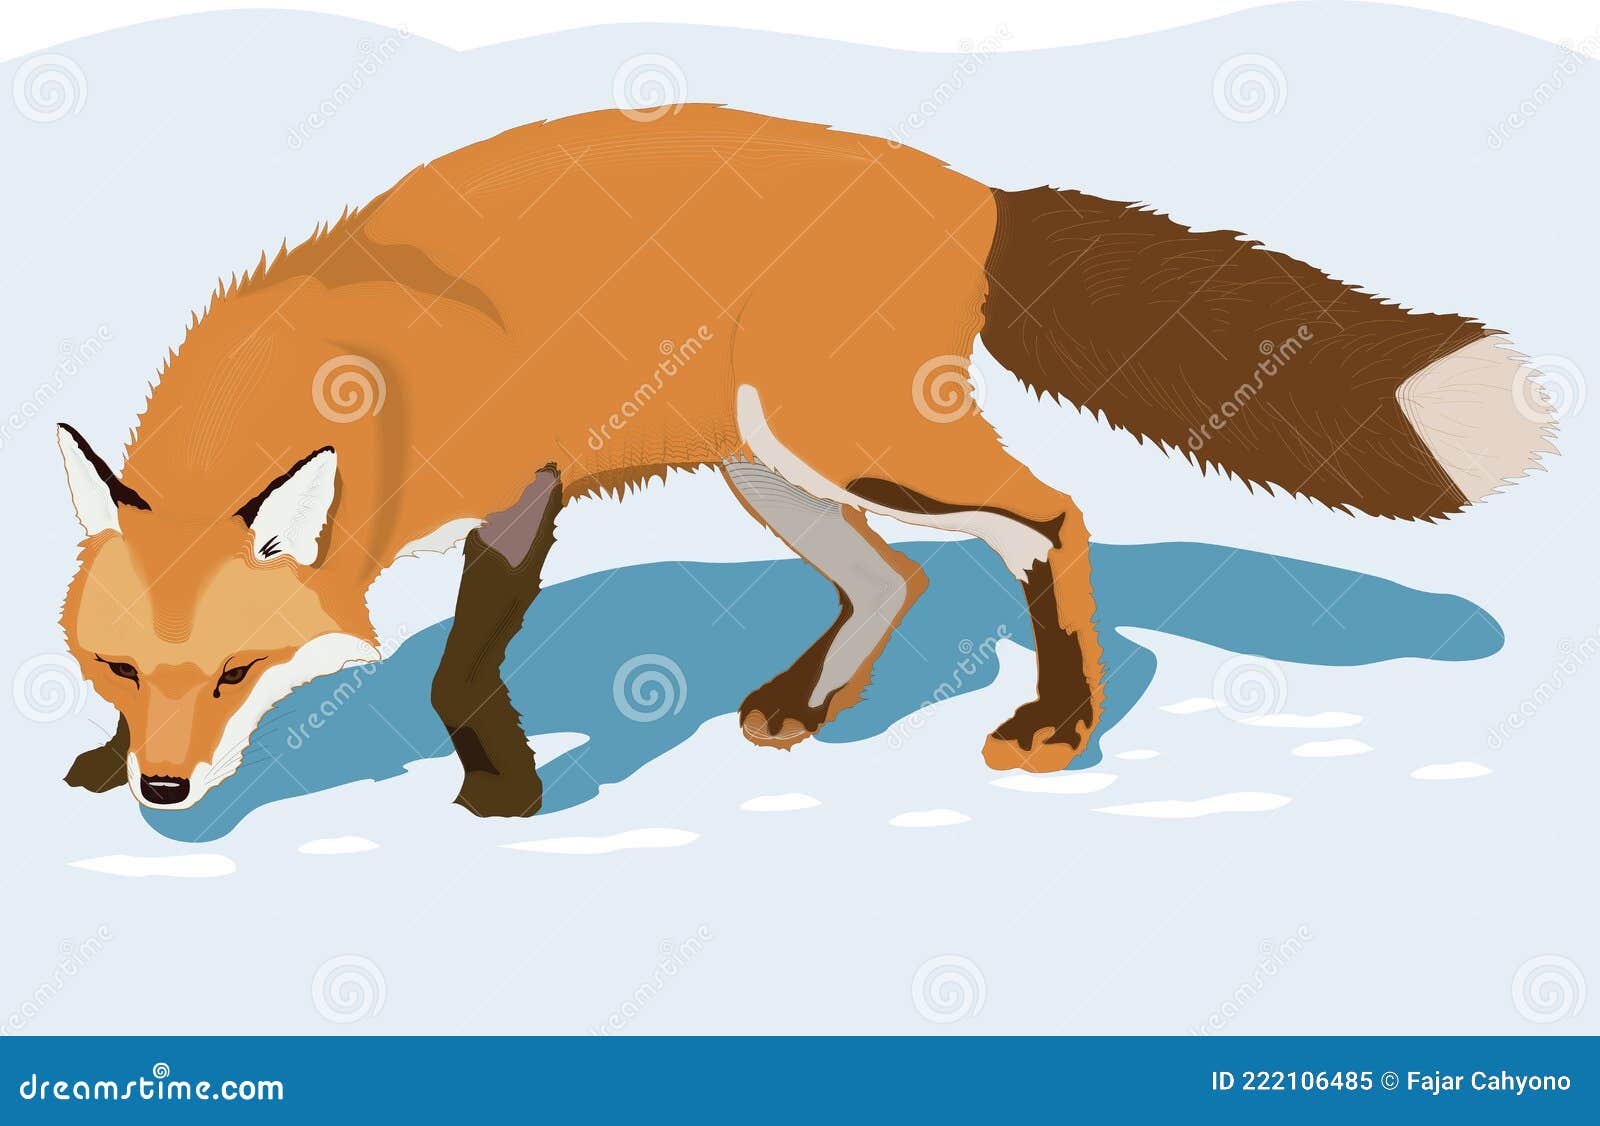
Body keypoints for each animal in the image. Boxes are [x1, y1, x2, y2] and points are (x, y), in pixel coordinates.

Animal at [56, 105, 1554, 815]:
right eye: (119, 664)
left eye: (239, 674)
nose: (169, 794)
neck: (362, 383)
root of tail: (974, 191)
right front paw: (97, 763)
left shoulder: (516, 491)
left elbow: (457, 665)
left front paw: (502, 786)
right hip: (774, 466)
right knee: (898, 580)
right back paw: (810, 704)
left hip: (863, 442)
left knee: (1051, 519)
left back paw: (1061, 724)